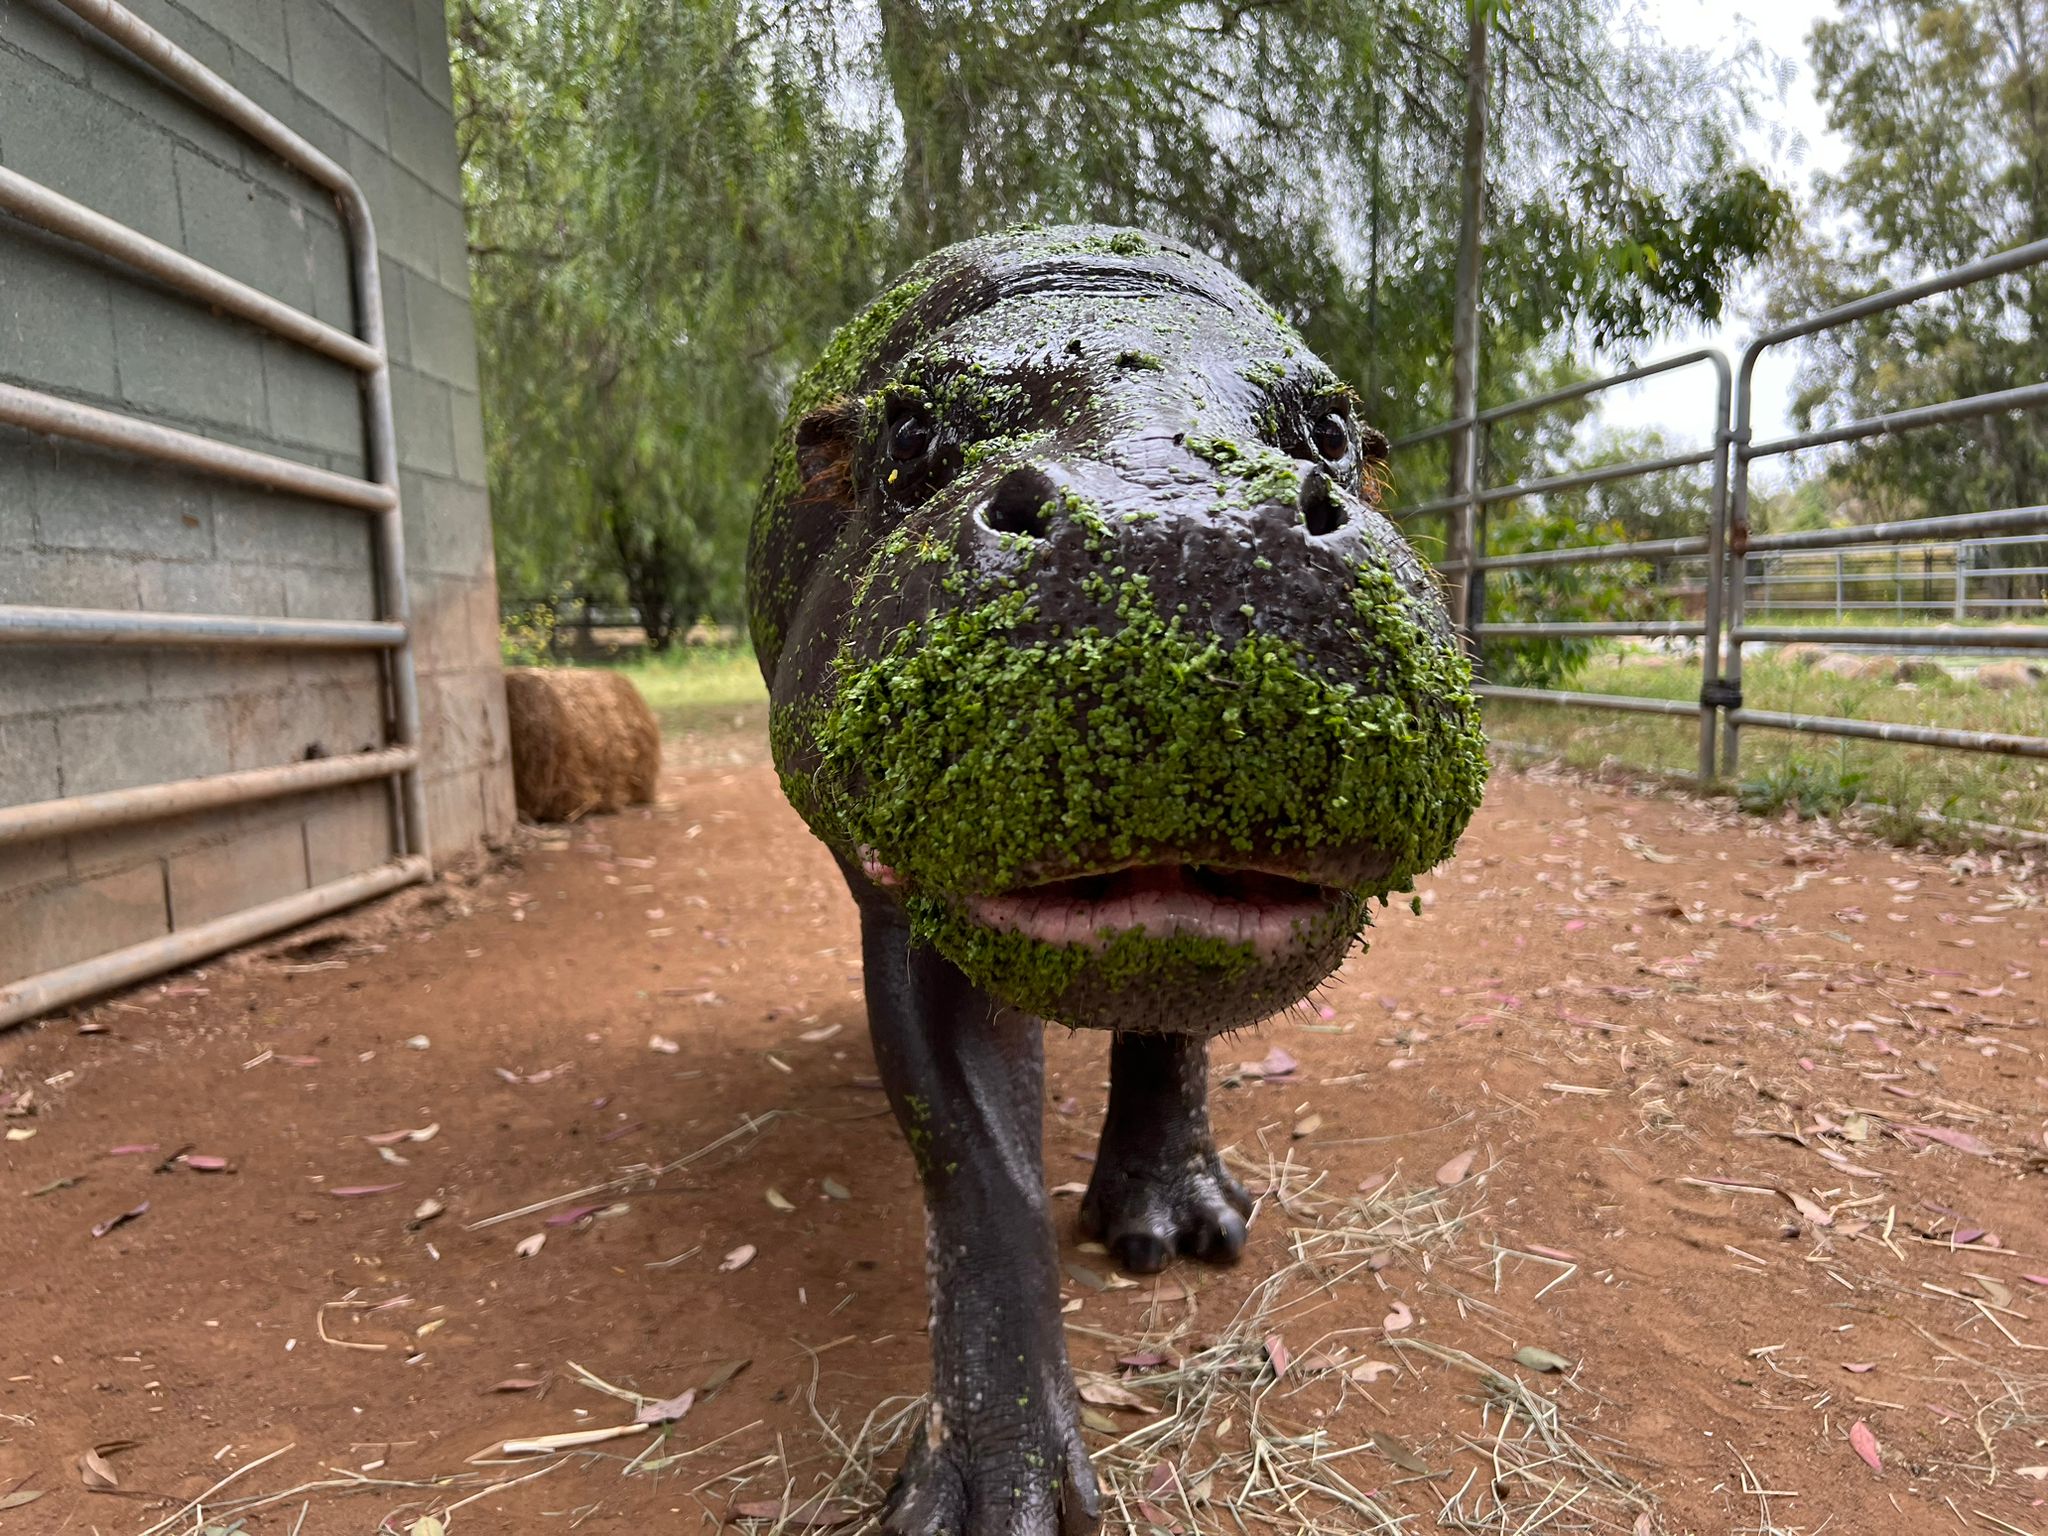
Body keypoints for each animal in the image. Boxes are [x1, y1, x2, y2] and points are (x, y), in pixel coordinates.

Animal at [747, 225, 1486, 1535]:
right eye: (910, 435)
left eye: (1331, 427)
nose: (1177, 526)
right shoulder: (906, 903)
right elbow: (971, 1157)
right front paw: (989, 1503)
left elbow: (1169, 1030)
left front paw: (1171, 1231)